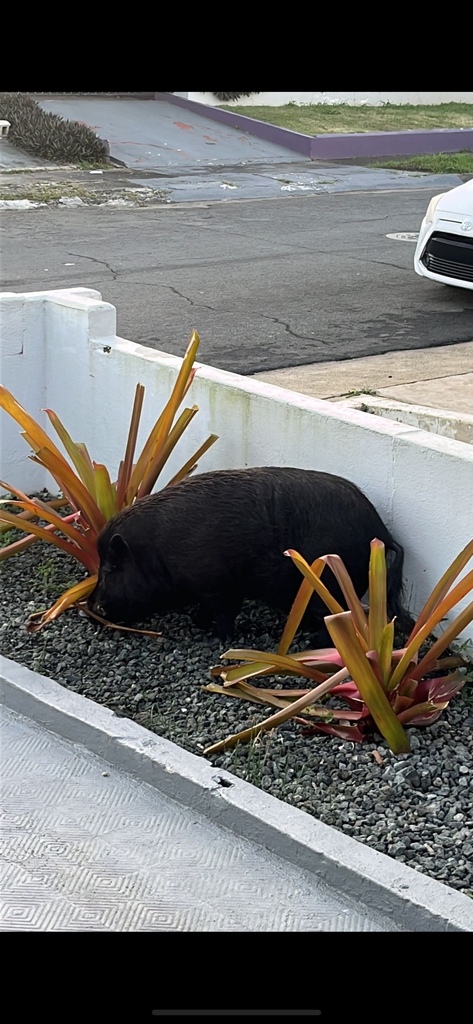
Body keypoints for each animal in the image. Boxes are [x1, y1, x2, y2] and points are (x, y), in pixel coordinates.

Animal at [88, 466, 412, 641]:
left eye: (111, 568)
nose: (91, 607)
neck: (157, 552)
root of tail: (382, 532)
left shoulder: (217, 585)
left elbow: (224, 613)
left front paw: (218, 638)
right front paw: (197, 623)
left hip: (329, 583)